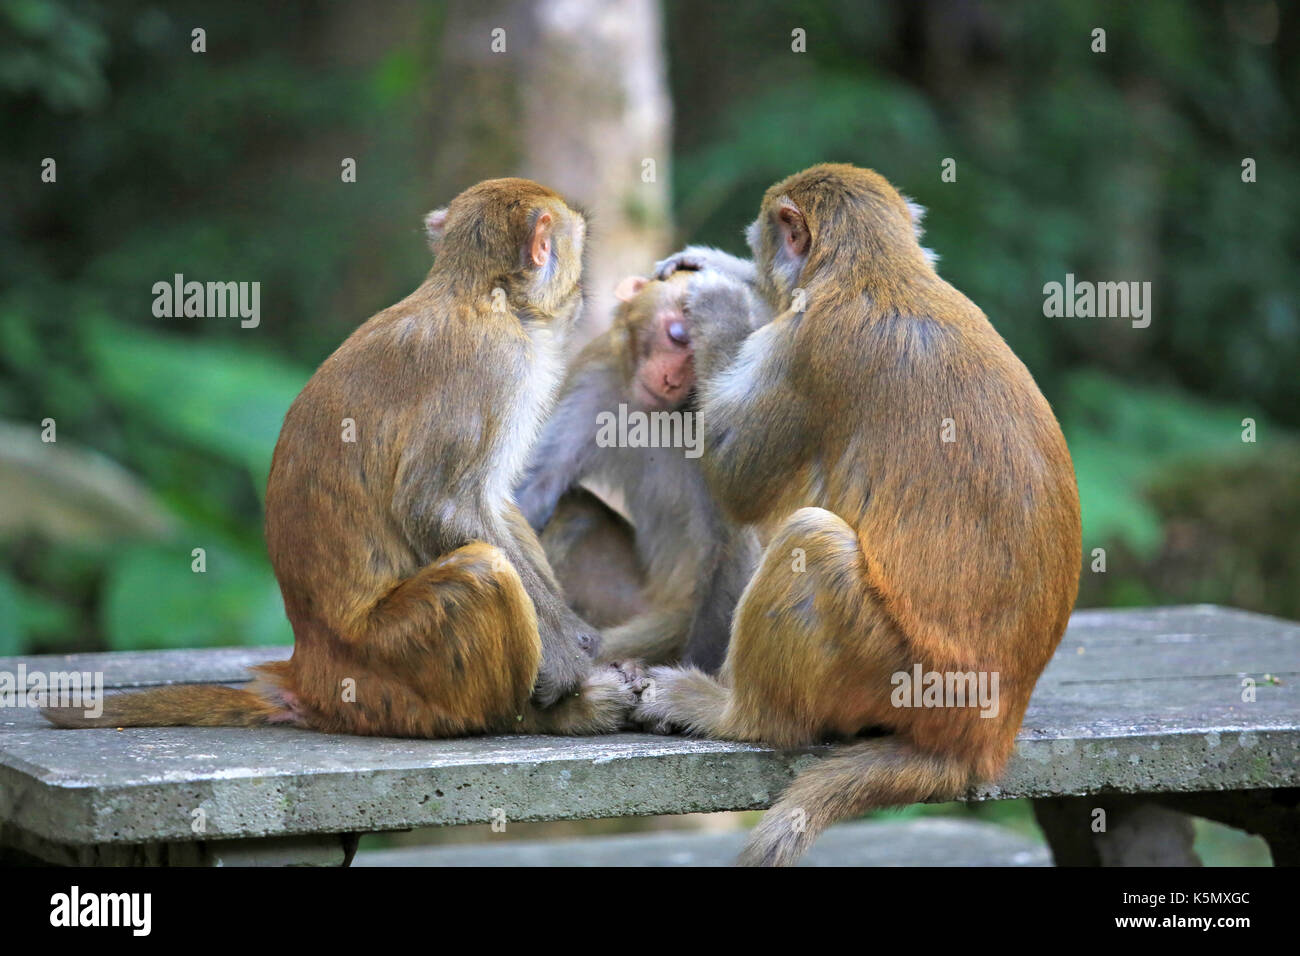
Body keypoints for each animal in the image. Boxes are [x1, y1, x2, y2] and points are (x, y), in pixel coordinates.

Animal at [44, 178, 641, 737]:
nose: (582, 290)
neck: (478, 291)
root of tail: (310, 673)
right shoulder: (496, 364)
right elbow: (440, 507)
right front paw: (567, 655)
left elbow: (492, 504)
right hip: (395, 660)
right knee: (483, 569)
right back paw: (543, 717)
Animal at [516, 271, 761, 675]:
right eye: (678, 337)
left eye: (700, 356)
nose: (672, 380)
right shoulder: (596, 375)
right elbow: (535, 488)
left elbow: (729, 547)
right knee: (575, 513)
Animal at [630, 163, 1082, 866]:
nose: (750, 250)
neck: (877, 268)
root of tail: (982, 736)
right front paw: (721, 268)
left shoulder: (806, 347)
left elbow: (737, 478)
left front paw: (719, 299)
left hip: (889, 667)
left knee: (812, 540)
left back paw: (738, 715)